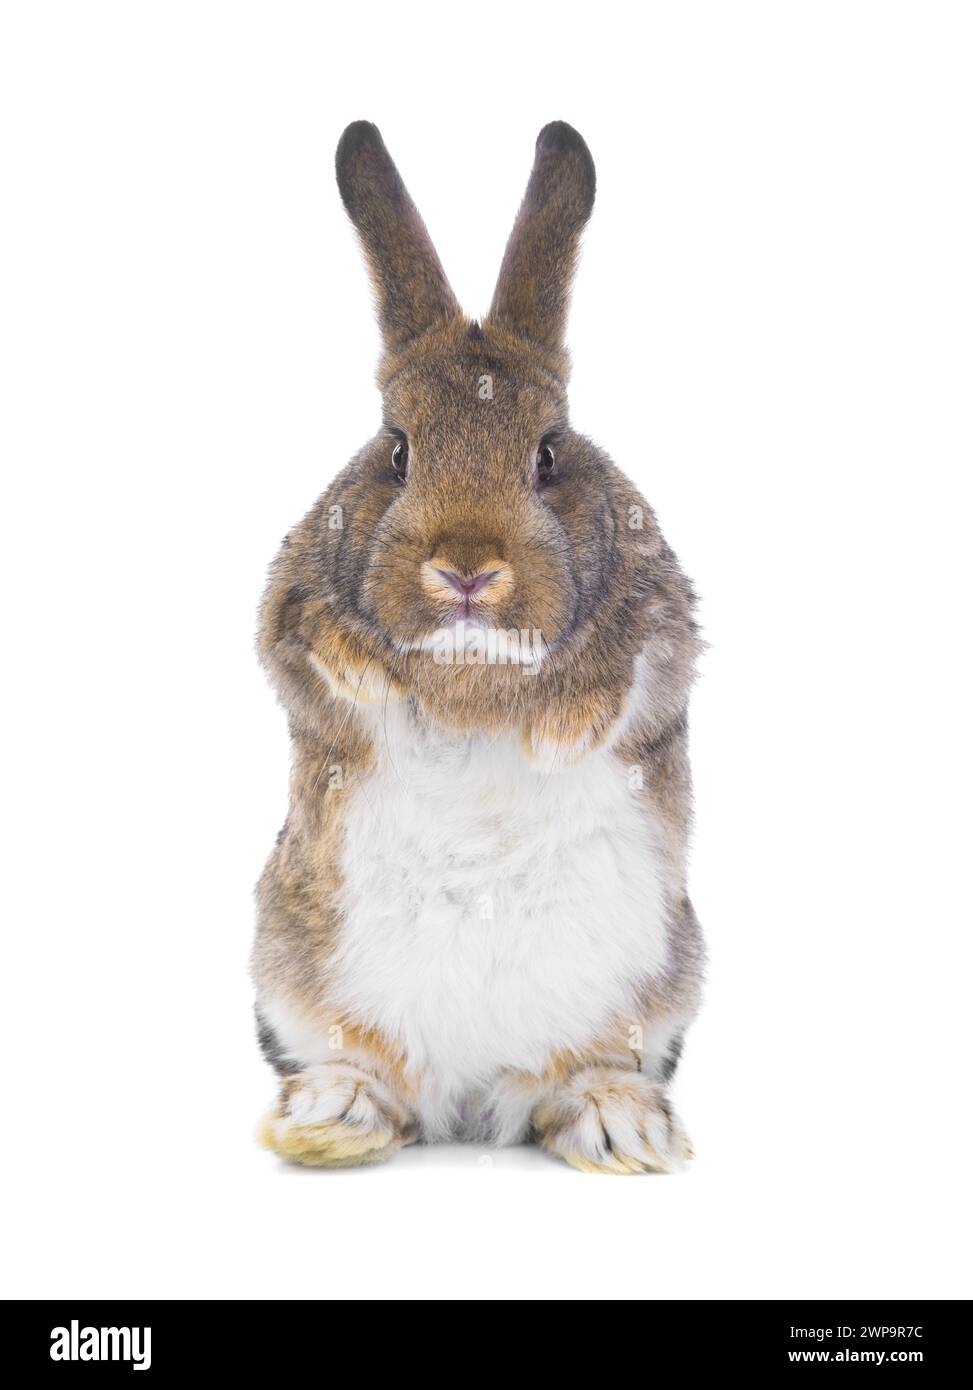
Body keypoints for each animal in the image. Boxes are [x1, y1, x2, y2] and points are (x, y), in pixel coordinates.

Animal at [252, 121, 704, 1174]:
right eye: (396, 450)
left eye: (546, 454)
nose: (465, 570)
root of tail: (468, 1097)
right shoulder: (282, 618)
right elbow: (315, 645)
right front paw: (372, 674)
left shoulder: (663, 635)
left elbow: (620, 674)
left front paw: (558, 734)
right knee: (373, 1072)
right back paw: (331, 1117)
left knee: (573, 1078)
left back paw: (617, 1125)